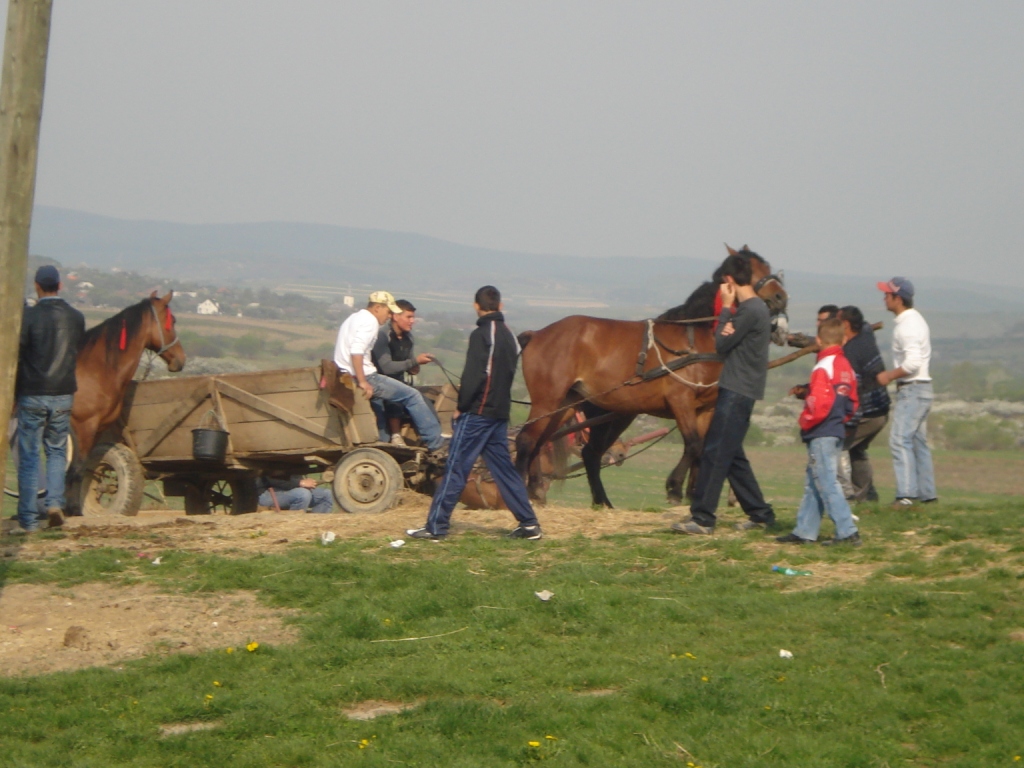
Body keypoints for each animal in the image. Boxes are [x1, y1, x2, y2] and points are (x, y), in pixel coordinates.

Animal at [516, 249, 786, 507]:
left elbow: (702, 447)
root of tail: (537, 333)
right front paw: (674, 487)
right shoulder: (681, 400)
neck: (695, 338)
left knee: (554, 444)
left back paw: (558, 493)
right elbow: (694, 444)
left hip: (568, 405)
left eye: (767, 266)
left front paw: (692, 493)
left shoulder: (705, 408)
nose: (781, 297)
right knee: (527, 440)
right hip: (549, 400)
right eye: (747, 269)